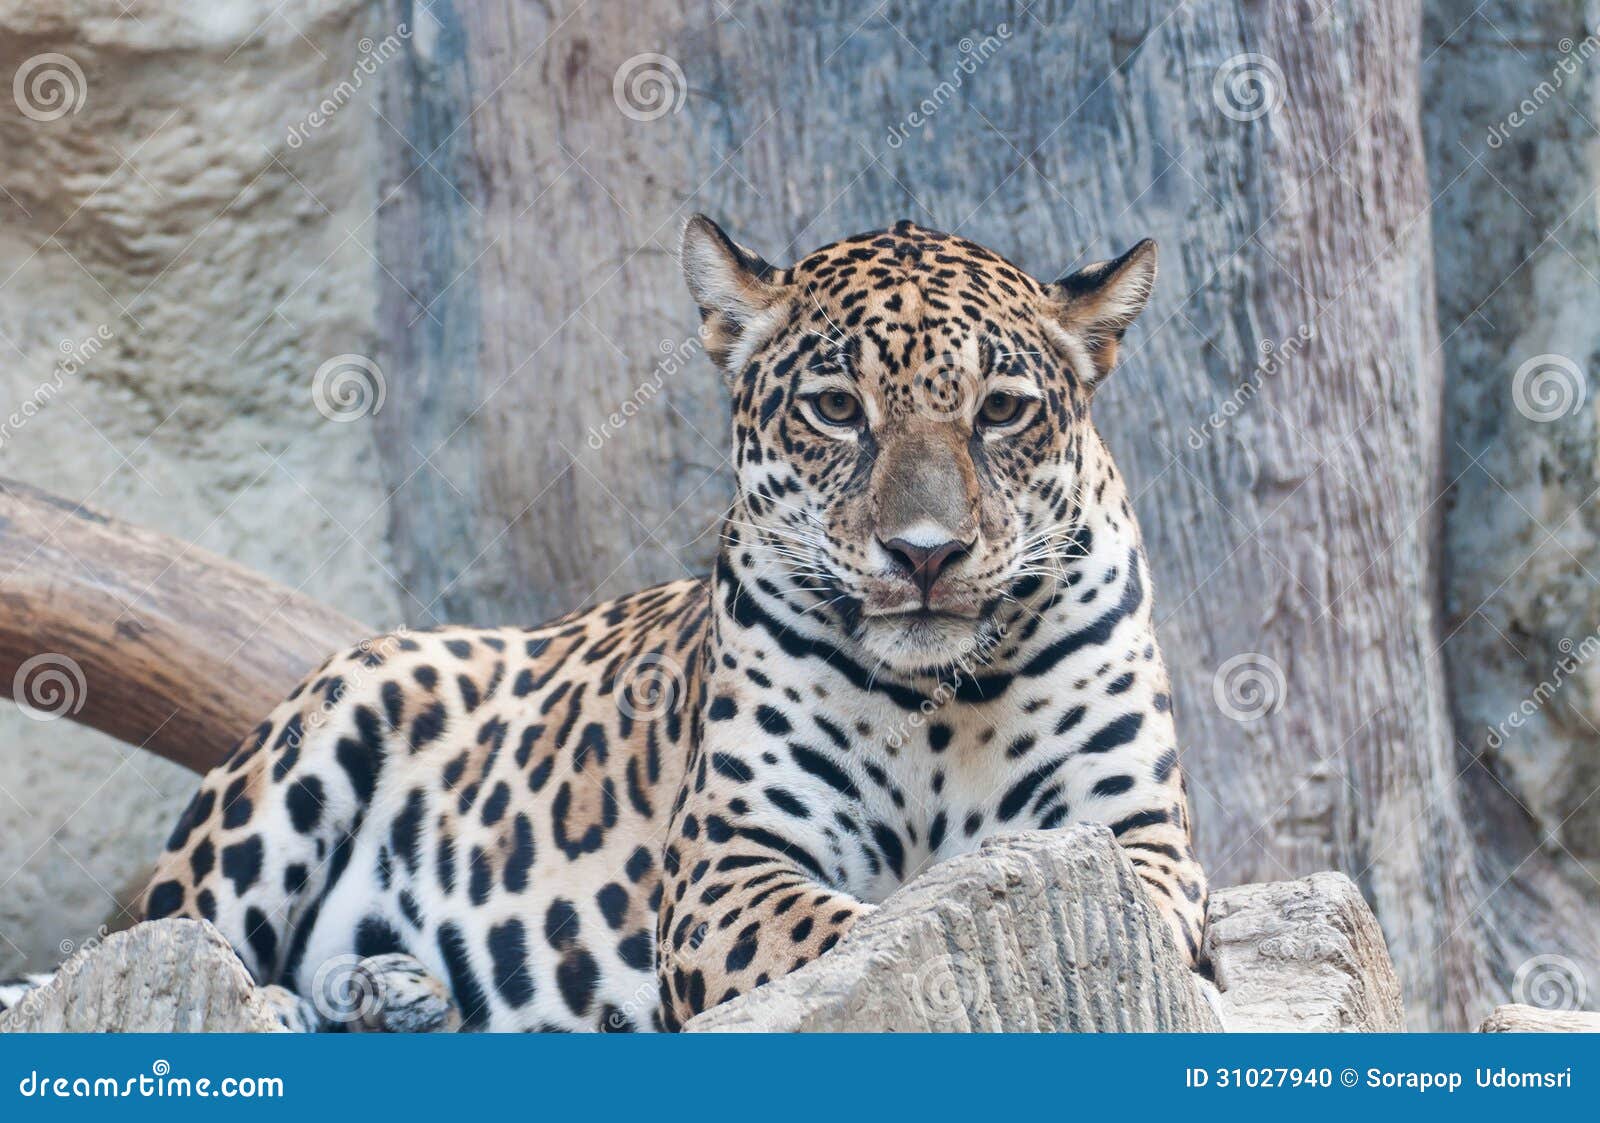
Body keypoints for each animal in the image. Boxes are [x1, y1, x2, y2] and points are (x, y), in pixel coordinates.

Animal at [0, 216, 1207, 1032]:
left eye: (1001, 412)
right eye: (834, 408)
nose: (924, 555)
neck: (933, 698)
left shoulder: (1138, 841)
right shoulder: (728, 864)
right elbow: (851, 931)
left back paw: (390, 987)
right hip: (324, 727)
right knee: (158, 944)